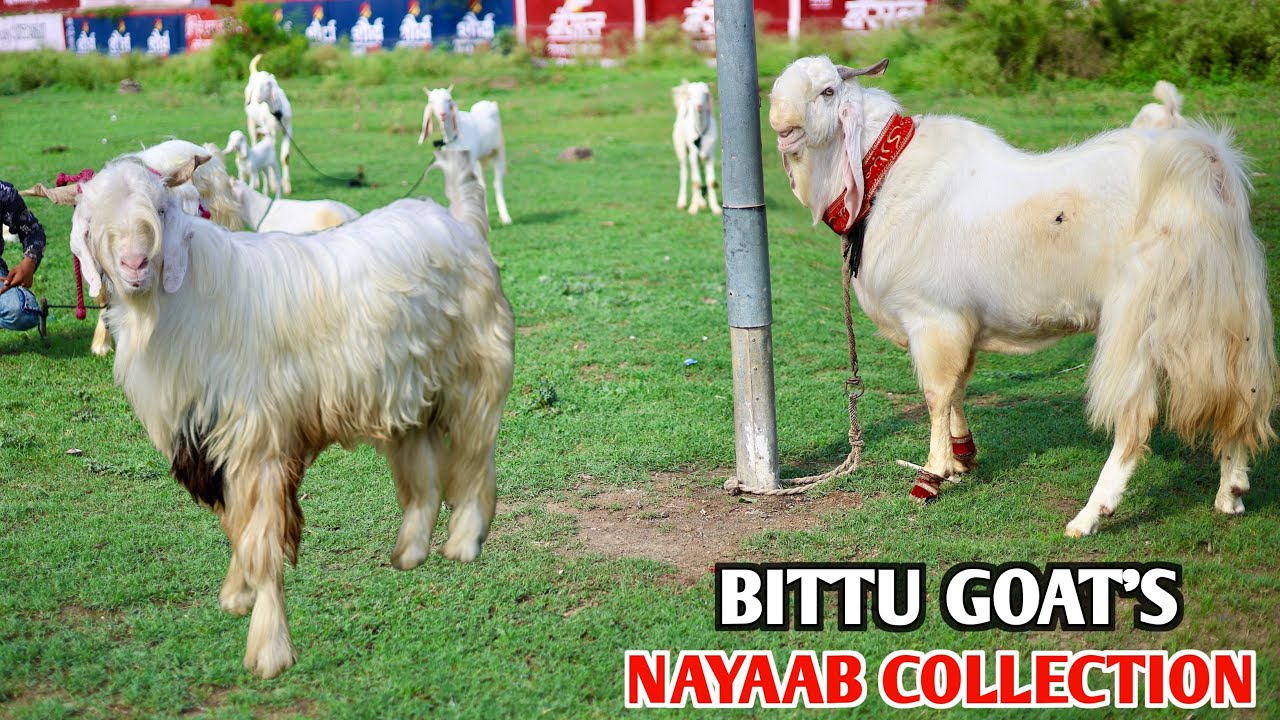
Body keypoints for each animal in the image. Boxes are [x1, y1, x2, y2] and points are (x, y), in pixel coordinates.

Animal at [35, 147, 513, 678]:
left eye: (160, 208)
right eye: (92, 222)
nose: (135, 264)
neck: (179, 304)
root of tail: (459, 223)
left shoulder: (257, 438)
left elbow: (261, 538)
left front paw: (269, 649)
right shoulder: (206, 443)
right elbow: (237, 526)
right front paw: (236, 595)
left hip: (473, 373)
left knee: (474, 455)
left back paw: (464, 541)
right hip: (405, 391)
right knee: (423, 475)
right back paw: (409, 553)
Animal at [244, 54, 293, 195]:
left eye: (268, 84)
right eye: (255, 87)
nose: (257, 98)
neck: (277, 114)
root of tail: (256, 72)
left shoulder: (288, 129)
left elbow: (285, 157)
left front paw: (287, 187)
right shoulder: (270, 132)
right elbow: (270, 155)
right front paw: (274, 185)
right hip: (252, 122)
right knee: (255, 143)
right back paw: (257, 182)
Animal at [418, 86, 512, 225]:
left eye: (449, 100)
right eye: (431, 101)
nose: (442, 114)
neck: (455, 137)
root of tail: (488, 103)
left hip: (498, 151)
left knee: (497, 182)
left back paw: (506, 218)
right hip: (478, 160)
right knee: (482, 184)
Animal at [672, 80, 720, 215]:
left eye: (706, 93)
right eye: (691, 94)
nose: (698, 106)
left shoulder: (710, 154)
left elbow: (711, 181)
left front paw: (715, 208)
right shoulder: (693, 153)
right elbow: (696, 181)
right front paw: (693, 208)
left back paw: (702, 202)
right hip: (681, 148)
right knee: (685, 173)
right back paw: (682, 202)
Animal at [768, 56, 1275, 536]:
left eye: (827, 90)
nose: (779, 121)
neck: (885, 176)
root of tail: (1207, 167)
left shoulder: (933, 319)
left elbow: (936, 394)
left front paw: (931, 476)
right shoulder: (961, 325)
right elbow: (958, 388)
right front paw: (963, 458)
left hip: (1141, 320)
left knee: (1136, 421)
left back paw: (1090, 516)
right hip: (1231, 317)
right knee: (1240, 398)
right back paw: (1230, 493)